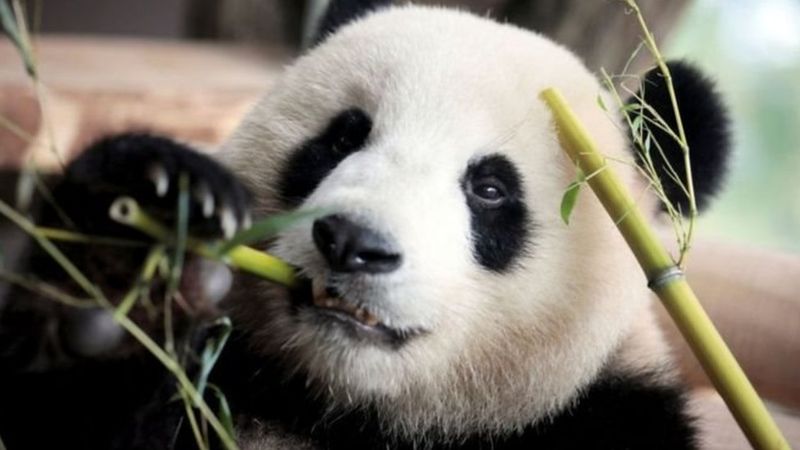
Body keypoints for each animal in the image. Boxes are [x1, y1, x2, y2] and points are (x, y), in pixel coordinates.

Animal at [0, 1, 729, 449]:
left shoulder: (606, 416)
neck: (348, 410)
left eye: (490, 189)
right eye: (343, 136)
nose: (352, 243)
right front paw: (128, 253)